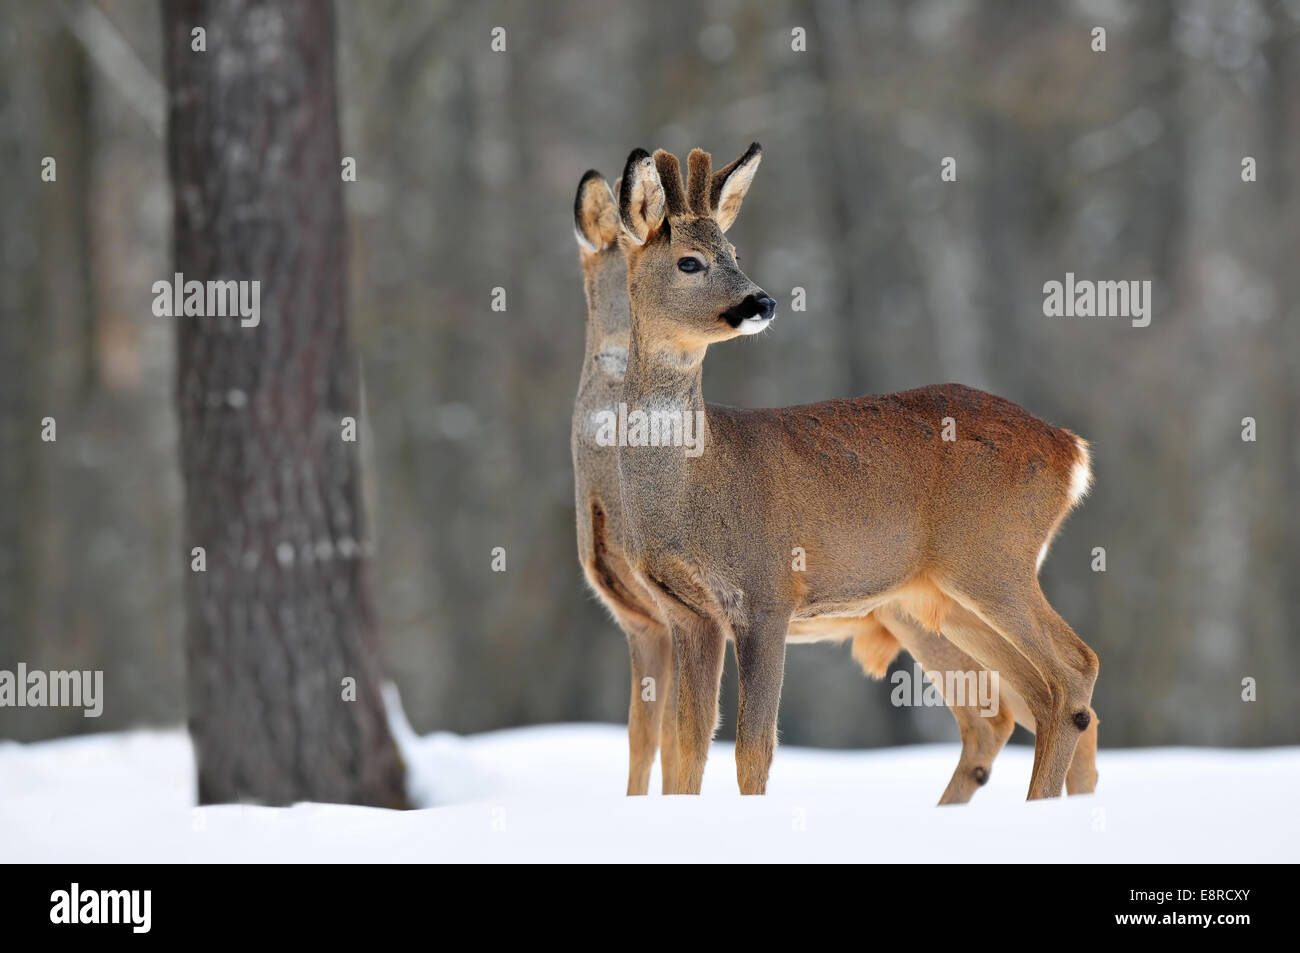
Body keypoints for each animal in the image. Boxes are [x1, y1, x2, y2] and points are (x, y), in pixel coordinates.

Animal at [572, 164, 1098, 802]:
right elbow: (688, 747)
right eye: (690, 262)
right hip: (944, 596)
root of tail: (1071, 448)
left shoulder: (767, 592)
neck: (696, 485)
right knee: (1032, 697)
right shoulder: (685, 614)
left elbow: (751, 751)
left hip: (993, 559)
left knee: (1073, 670)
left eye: (735, 252)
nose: (762, 301)